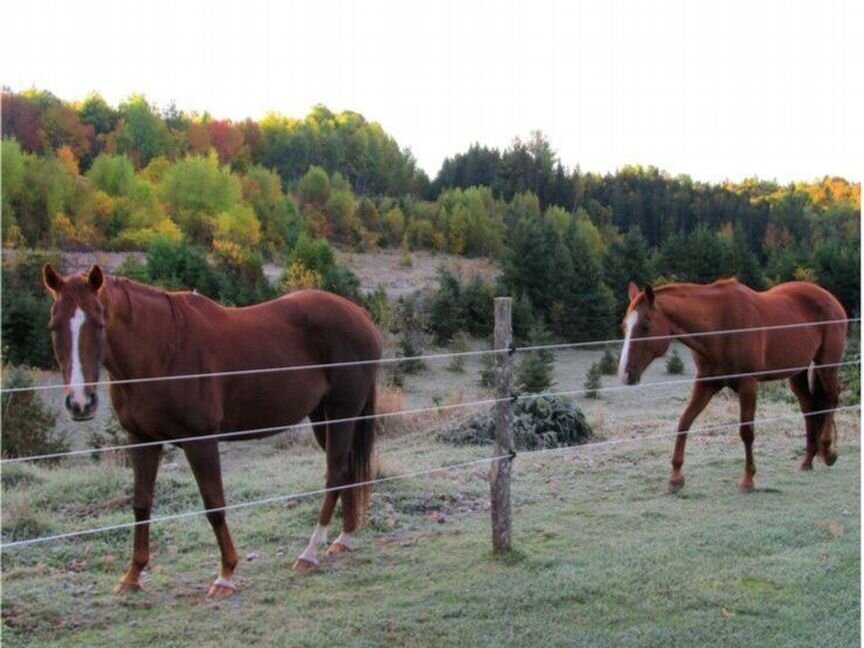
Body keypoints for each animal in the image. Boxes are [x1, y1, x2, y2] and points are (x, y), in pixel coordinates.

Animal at [43, 264, 382, 596]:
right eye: (54, 327)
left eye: (99, 324)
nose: (80, 402)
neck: (162, 353)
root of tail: (359, 315)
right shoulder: (141, 440)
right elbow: (141, 504)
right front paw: (132, 576)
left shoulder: (201, 441)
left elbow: (214, 505)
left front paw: (226, 575)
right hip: (321, 417)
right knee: (347, 470)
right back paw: (343, 538)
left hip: (340, 414)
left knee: (335, 474)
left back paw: (309, 553)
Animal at [616, 276, 848, 494]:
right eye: (624, 327)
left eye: (645, 326)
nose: (625, 375)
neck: (720, 327)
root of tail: (831, 299)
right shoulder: (706, 384)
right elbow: (684, 422)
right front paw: (675, 478)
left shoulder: (748, 385)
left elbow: (746, 431)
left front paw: (748, 480)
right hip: (797, 372)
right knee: (809, 408)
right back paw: (807, 461)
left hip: (826, 365)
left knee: (831, 398)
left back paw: (828, 451)